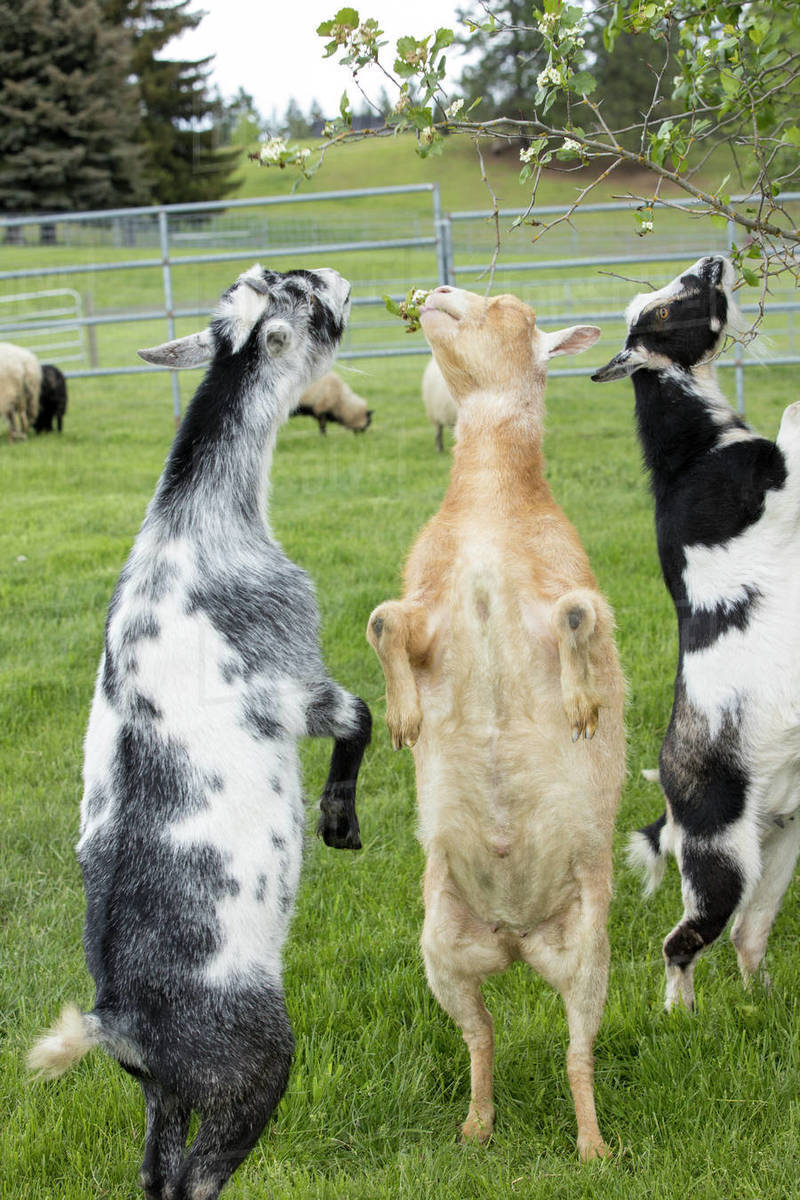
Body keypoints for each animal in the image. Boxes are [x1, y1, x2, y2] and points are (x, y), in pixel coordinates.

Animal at [28, 265, 372, 1200]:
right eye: (302, 295)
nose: (339, 277)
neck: (195, 519)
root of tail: (116, 1023)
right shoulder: (294, 674)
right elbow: (362, 718)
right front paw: (339, 824)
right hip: (249, 1066)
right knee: (194, 1182)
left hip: (164, 1093)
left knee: (155, 1174)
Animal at [367, 285, 625, 1160]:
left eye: (513, 306)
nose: (439, 294)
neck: (487, 512)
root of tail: (515, 934)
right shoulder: (426, 606)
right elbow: (383, 622)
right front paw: (405, 719)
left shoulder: (566, 591)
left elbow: (581, 616)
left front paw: (581, 706)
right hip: (441, 947)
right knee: (481, 1036)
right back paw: (476, 1125)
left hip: (588, 950)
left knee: (578, 1052)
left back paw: (593, 1147)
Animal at [593, 254, 800, 1011]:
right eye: (663, 308)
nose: (713, 261)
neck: (694, 453)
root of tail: (673, 805)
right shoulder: (773, 481)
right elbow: (794, 421)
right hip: (721, 862)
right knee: (680, 941)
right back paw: (677, 1014)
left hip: (779, 847)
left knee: (748, 935)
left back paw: (762, 999)